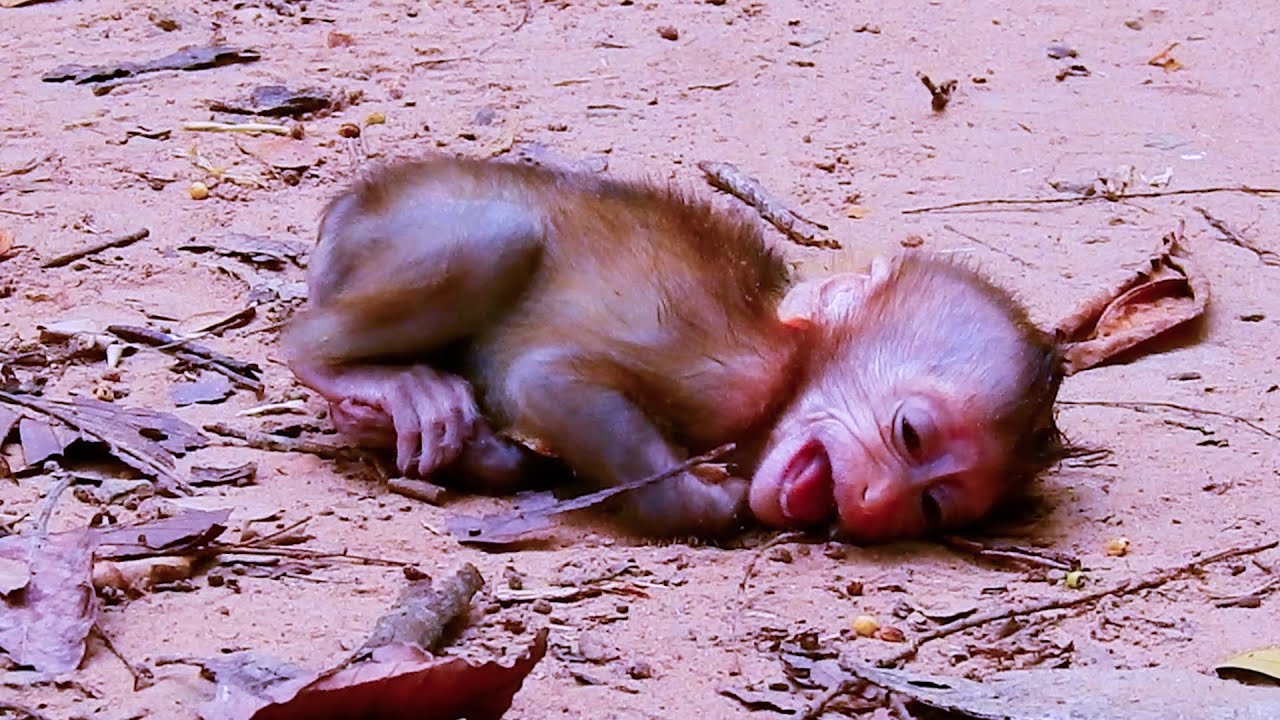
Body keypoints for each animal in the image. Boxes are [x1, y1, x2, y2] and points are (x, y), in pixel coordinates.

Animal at [282, 155, 1066, 543]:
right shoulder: (733, 376)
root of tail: (350, 206)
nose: (874, 505)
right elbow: (544, 381)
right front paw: (704, 503)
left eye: (930, 506)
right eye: (910, 434)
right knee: (499, 234)